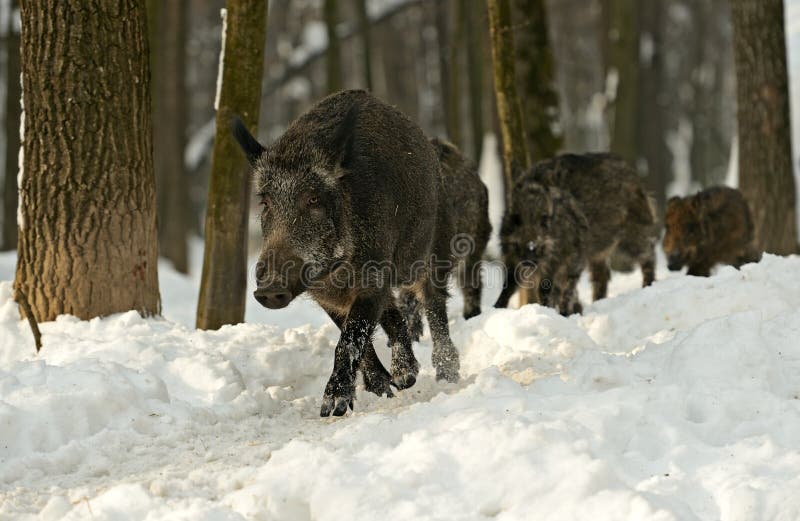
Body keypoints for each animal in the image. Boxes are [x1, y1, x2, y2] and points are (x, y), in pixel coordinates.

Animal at [232, 90, 460, 417]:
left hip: (433, 247)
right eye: (265, 202)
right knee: (393, 313)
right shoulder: (325, 294)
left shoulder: (373, 275)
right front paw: (383, 389)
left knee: (434, 302)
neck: (337, 269)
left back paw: (445, 375)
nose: (269, 290)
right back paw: (405, 378)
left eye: (314, 199)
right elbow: (354, 331)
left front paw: (332, 408)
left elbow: (351, 335)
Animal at [494, 178, 588, 315]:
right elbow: (509, 284)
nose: (529, 263)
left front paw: (546, 309)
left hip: (573, 266)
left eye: (544, 220)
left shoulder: (552, 261)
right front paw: (496, 307)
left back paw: (565, 313)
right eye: (516, 220)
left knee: (567, 291)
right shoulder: (512, 259)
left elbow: (545, 288)